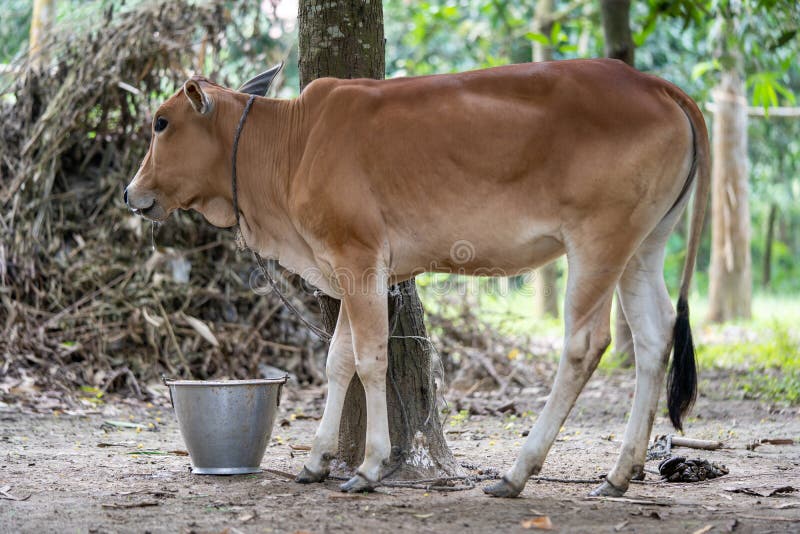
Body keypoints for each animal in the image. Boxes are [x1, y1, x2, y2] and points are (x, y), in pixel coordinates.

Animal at [125, 59, 709, 497]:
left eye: (161, 122)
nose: (131, 193)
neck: (292, 145)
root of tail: (656, 84)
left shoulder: (359, 258)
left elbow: (368, 360)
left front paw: (368, 467)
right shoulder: (348, 267)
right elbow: (338, 362)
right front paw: (316, 461)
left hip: (598, 241)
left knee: (586, 344)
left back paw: (518, 472)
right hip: (642, 246)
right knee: (654, 337)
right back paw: (620, 472)